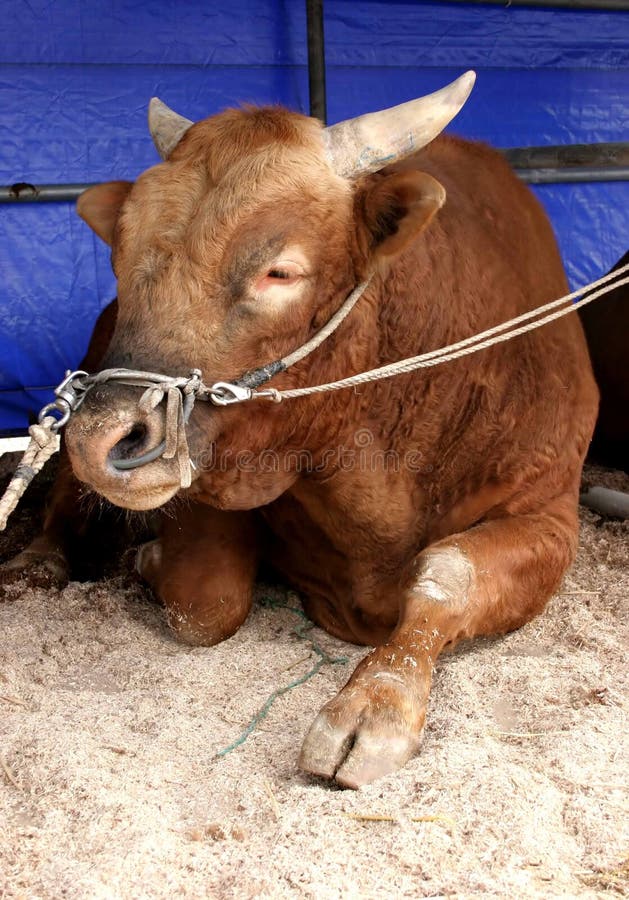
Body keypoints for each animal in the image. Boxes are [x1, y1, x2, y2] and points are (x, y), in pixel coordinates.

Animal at [0, 72, 599, 787]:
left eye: (278, 271)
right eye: (120, 254)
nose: (104, 436)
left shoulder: (550, 506)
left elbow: (449, 574)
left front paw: (376, 703)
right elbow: (207, 599)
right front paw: (147, 558)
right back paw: (35, 563)